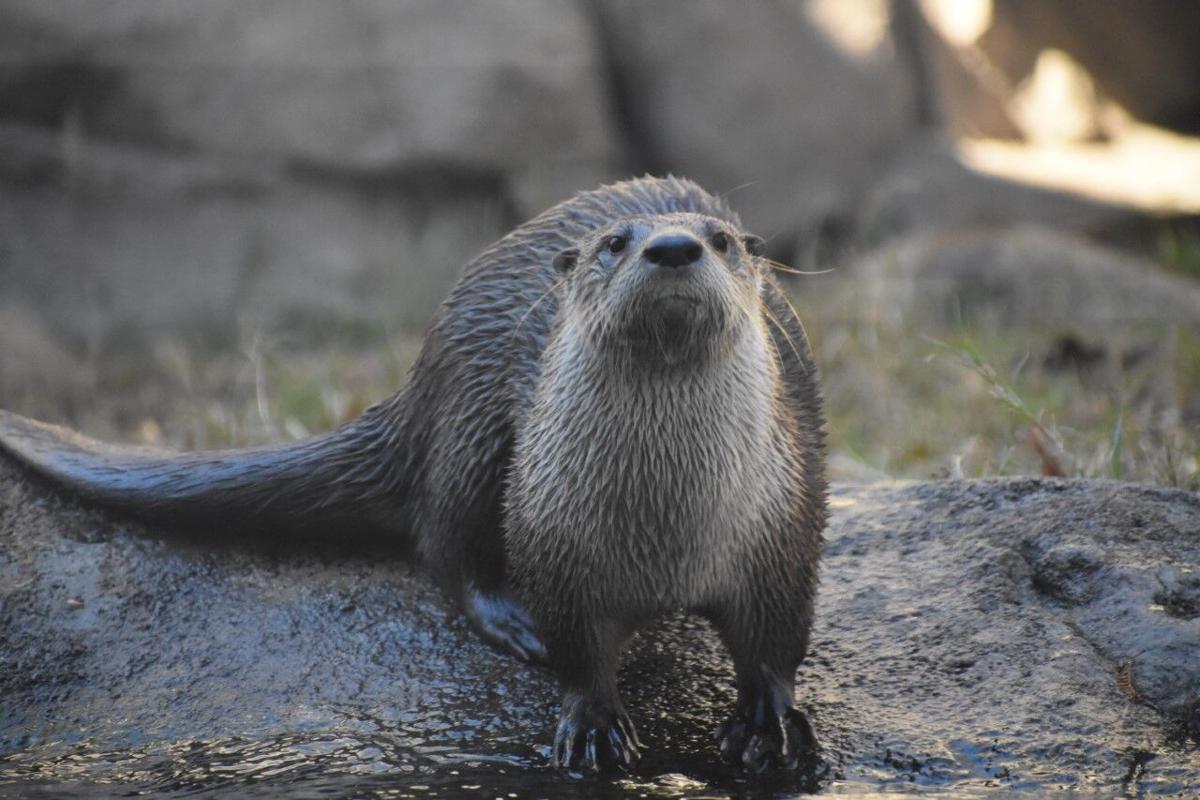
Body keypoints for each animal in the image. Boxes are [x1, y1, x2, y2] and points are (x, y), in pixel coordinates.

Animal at [0, 176, 826, 773]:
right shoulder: (554, 539)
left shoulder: (781, 527)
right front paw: (591, 722)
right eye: (615, 244)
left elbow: (777, 638)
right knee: (446, 538)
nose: (675, 247)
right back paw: (509, 618)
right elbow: (576, 647)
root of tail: (421, 374)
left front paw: (770, 723)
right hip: (472, 426)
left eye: (722, 241)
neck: (668, 525)